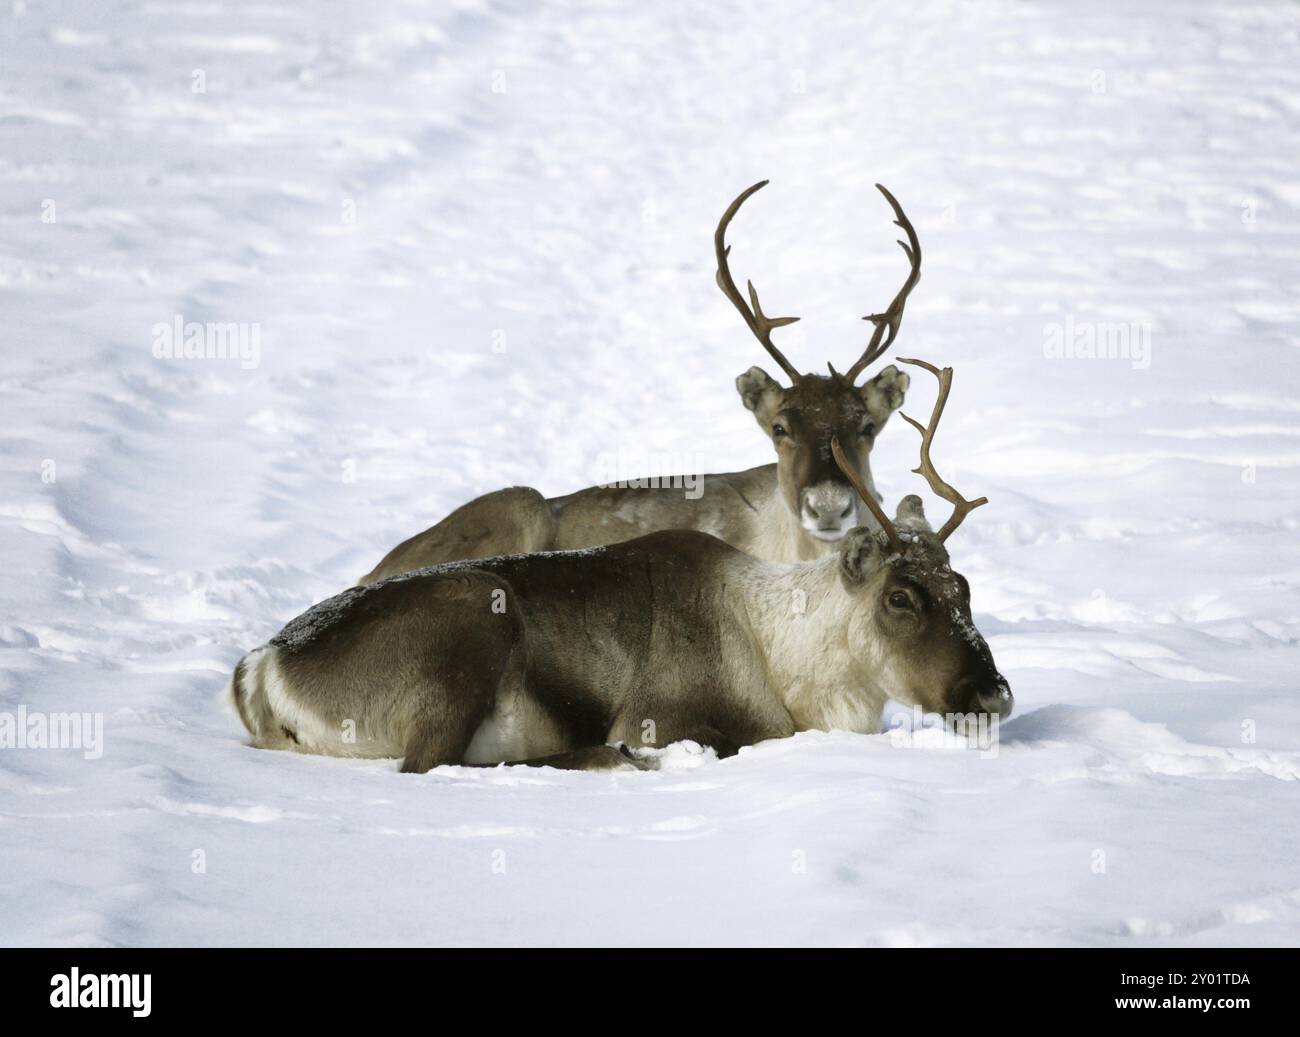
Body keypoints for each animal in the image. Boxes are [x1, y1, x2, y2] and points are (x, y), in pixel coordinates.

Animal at [231, 359, 1011, 773]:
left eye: (963, 588)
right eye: (901, 597)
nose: (993, 693)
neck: (786, 653)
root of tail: (263, 666)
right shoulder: (664, 715)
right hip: (473, 618)